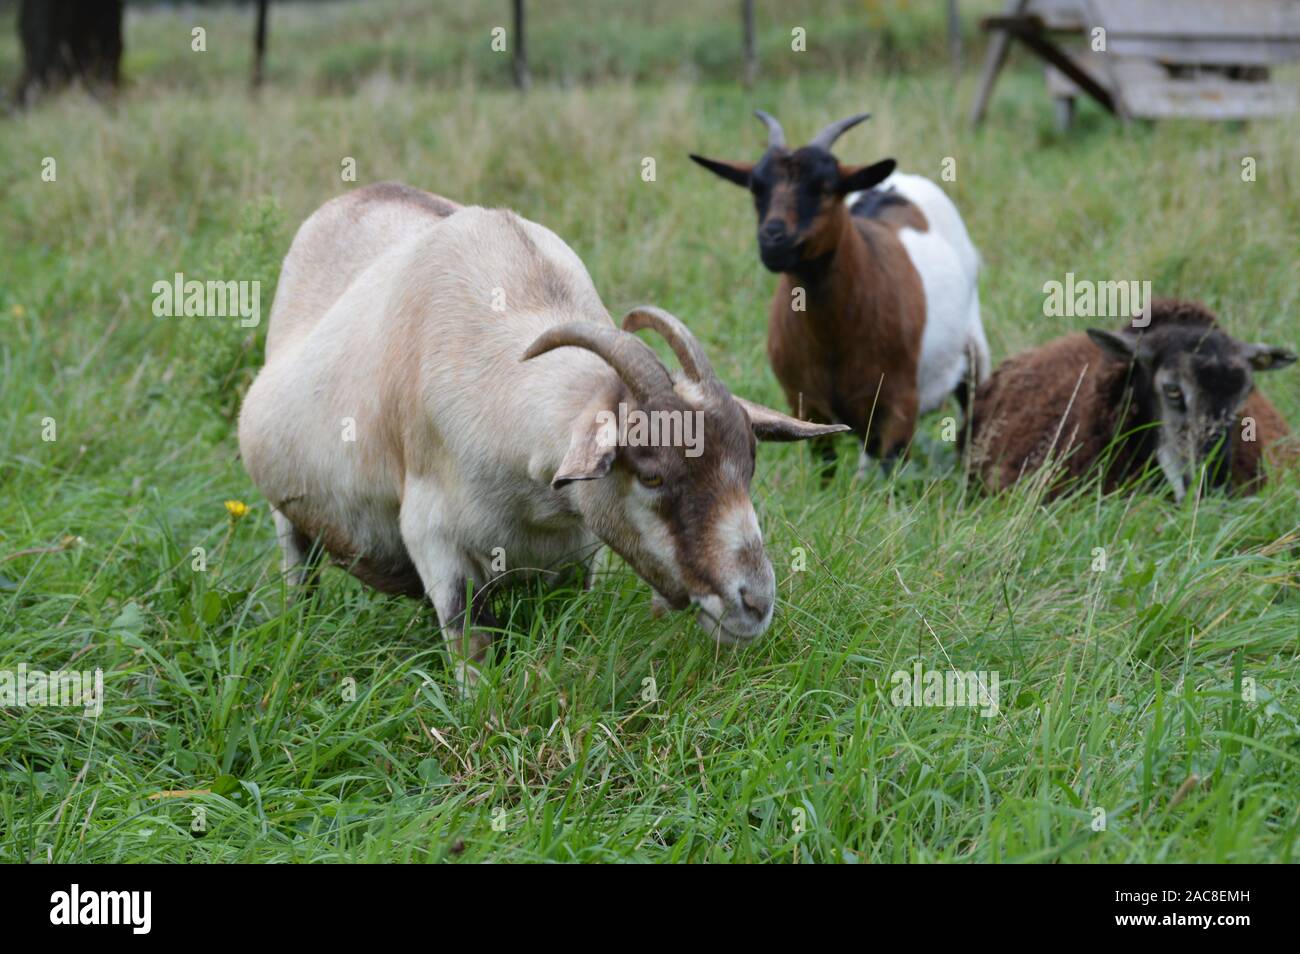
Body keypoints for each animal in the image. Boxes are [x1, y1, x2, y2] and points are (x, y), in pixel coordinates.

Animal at [237, 182, 846, 685]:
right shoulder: (437, 545)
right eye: (650, 474)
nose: (755, 604)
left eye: (750, 462)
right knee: (298, 566)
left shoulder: (578, 556)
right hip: (287, 516)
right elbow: (472, 652)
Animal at [690, 110, 989, 474]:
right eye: (756, 189)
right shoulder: (806, 404)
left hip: (975, 352)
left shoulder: (900, 406)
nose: (773, 239)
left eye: (826, 188)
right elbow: (825, 470)